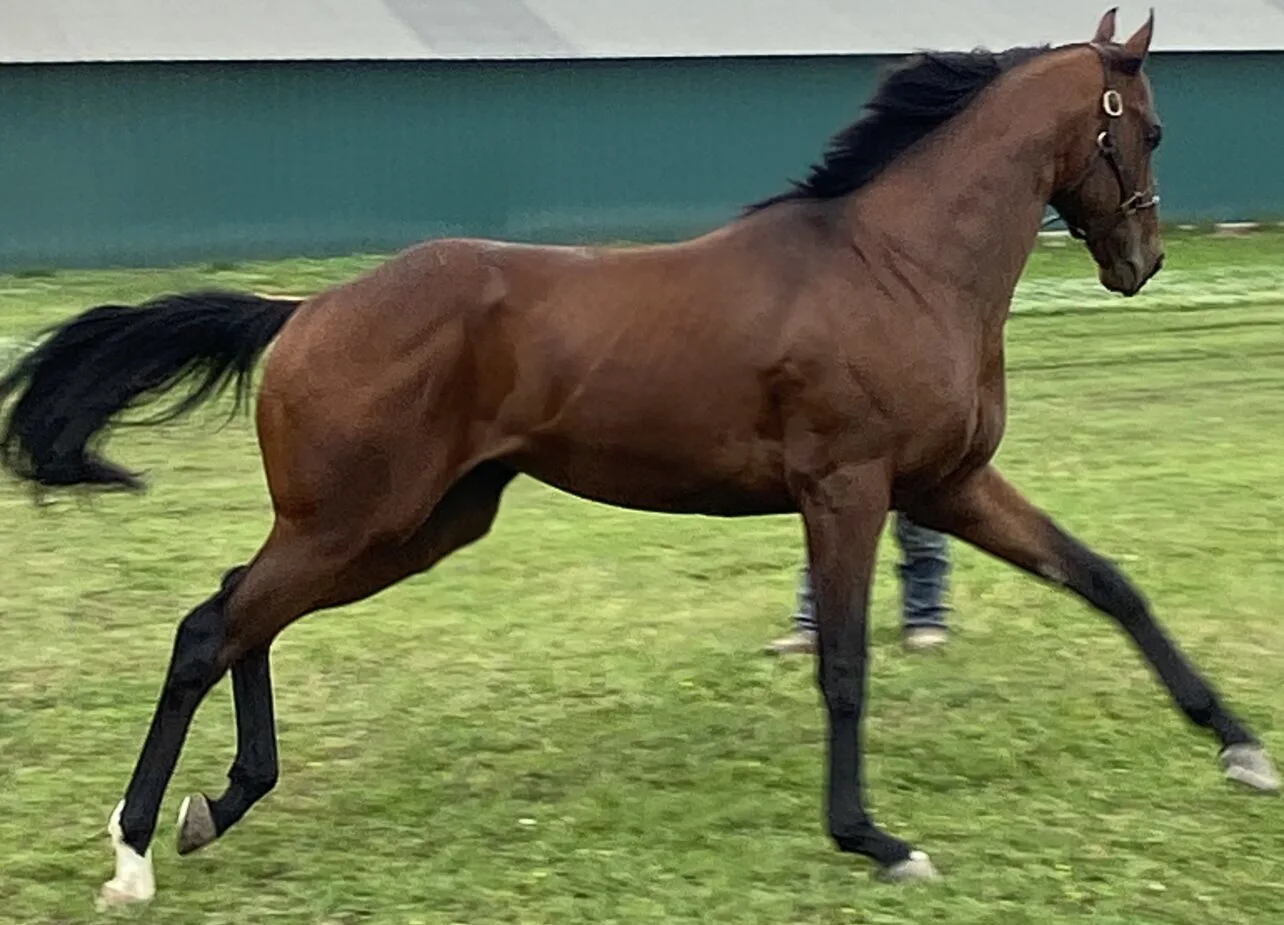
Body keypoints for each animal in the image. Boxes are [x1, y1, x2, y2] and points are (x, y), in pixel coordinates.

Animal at [0, 7, 1276, 908]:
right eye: (1150, 126)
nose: (1142, 264)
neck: (898, 266)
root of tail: (302, 310)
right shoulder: (847, 489)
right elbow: (845, 665)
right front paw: (876, 840)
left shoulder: (945, 485)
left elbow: (1106, 580)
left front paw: (1242, 748)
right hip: (359, 519)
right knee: (210, 626)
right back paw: (133, 852)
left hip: (412, 525)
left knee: (239, 614)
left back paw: (219, 804)